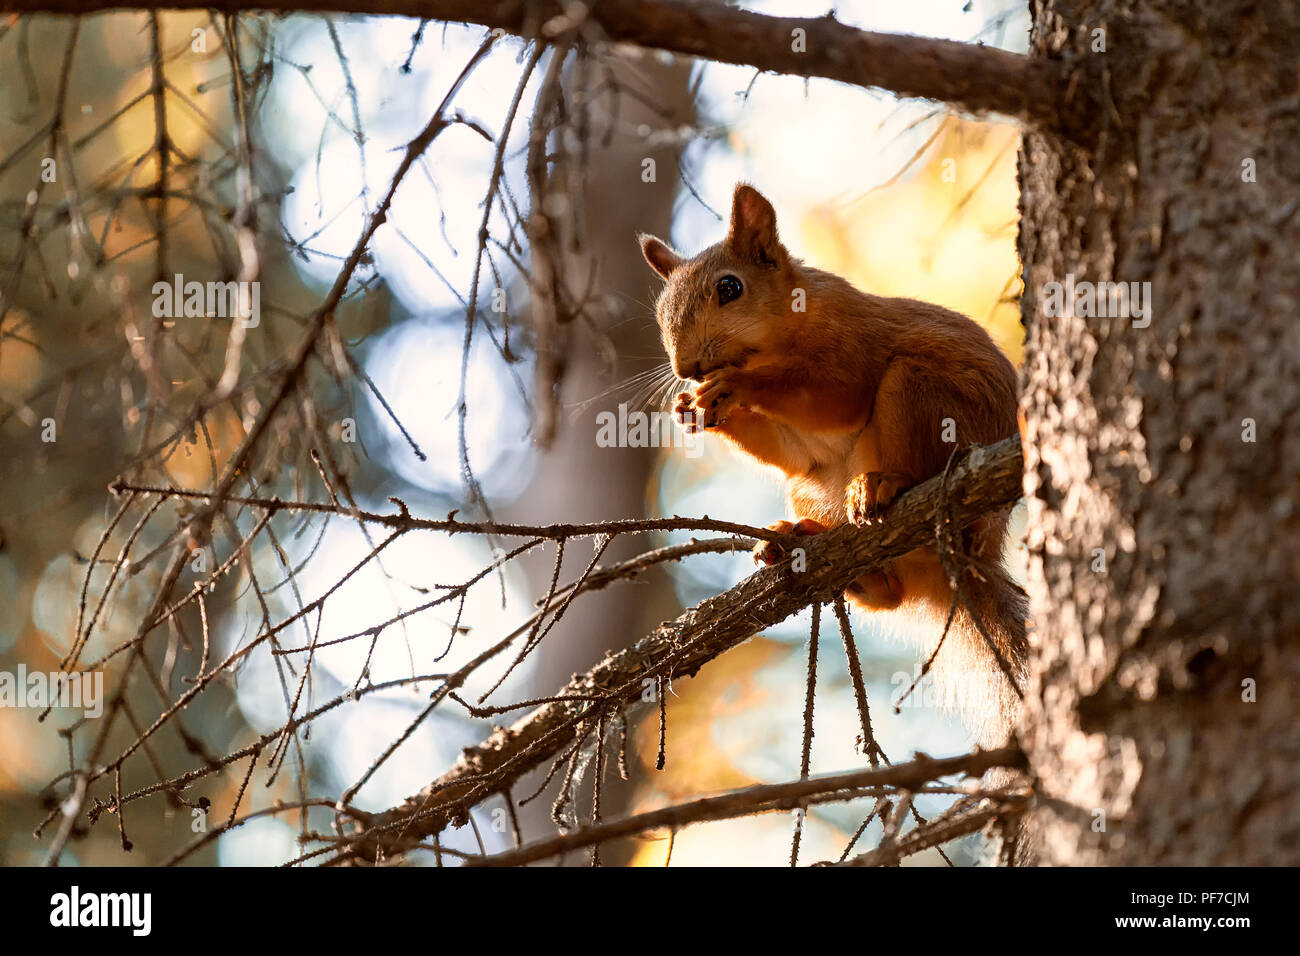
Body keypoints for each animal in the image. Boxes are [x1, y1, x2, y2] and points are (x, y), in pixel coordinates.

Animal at [639, 183, 1028, 748]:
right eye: (661, 309)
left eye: (730, 288)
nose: (685, 368)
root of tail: (979, 550)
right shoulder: (799, 450)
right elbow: (791, 449)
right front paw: (693, 409)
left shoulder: (851, 344)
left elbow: (834, 395)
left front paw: (739, 388)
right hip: (809, 487)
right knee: (891, 595)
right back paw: (808, 546)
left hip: (921, 391)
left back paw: (883, 485)